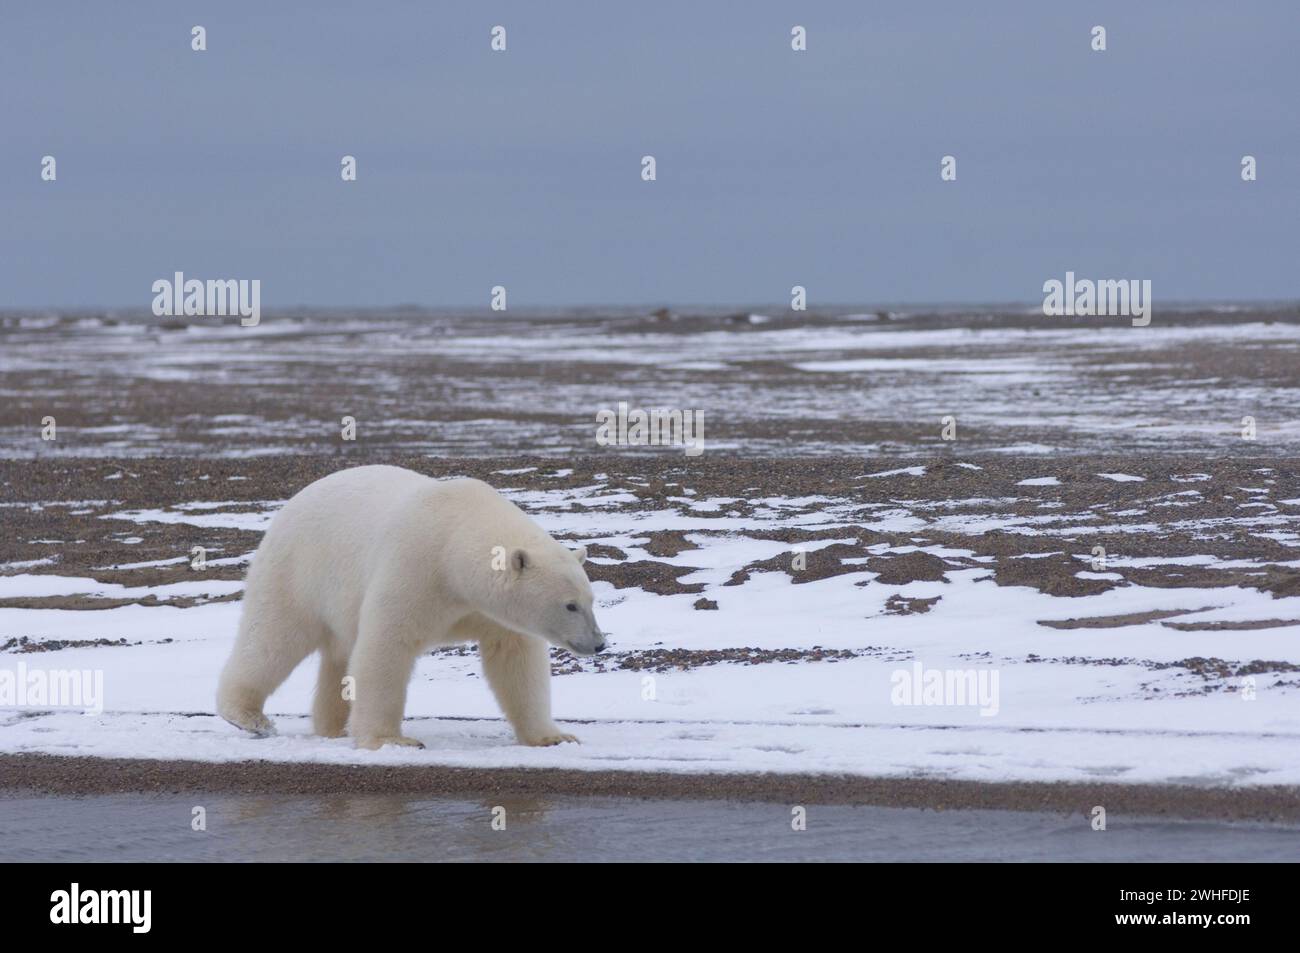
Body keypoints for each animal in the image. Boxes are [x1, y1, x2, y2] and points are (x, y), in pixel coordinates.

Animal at [216, 465, 606, 749]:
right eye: (570, 606)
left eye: (591, 600)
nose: (599, 643)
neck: (454, 540)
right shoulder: (415, 567)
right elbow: (386, 646)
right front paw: (390, 740)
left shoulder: (488, 610)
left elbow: (516, 660)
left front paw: (554, 736)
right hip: (297, 568)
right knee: (273, 638)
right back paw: (249, 717)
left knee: (336, 656)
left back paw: (332, 727)